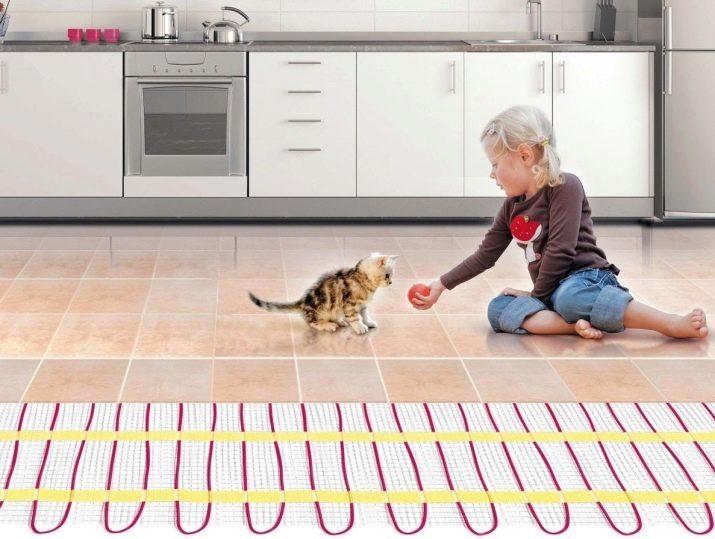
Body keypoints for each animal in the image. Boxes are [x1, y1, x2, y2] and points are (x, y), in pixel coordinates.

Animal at [250, 253, 398, 334]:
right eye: (387, 275)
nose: (391, 282)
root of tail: (303, 301)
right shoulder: (350, 305)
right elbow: (355, 317)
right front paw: (360, 327)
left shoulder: (363, 305)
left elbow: (365, 315)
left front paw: (368, 322)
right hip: (319, 310)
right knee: (311, 321)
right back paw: (328, 325)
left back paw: (340, 321)